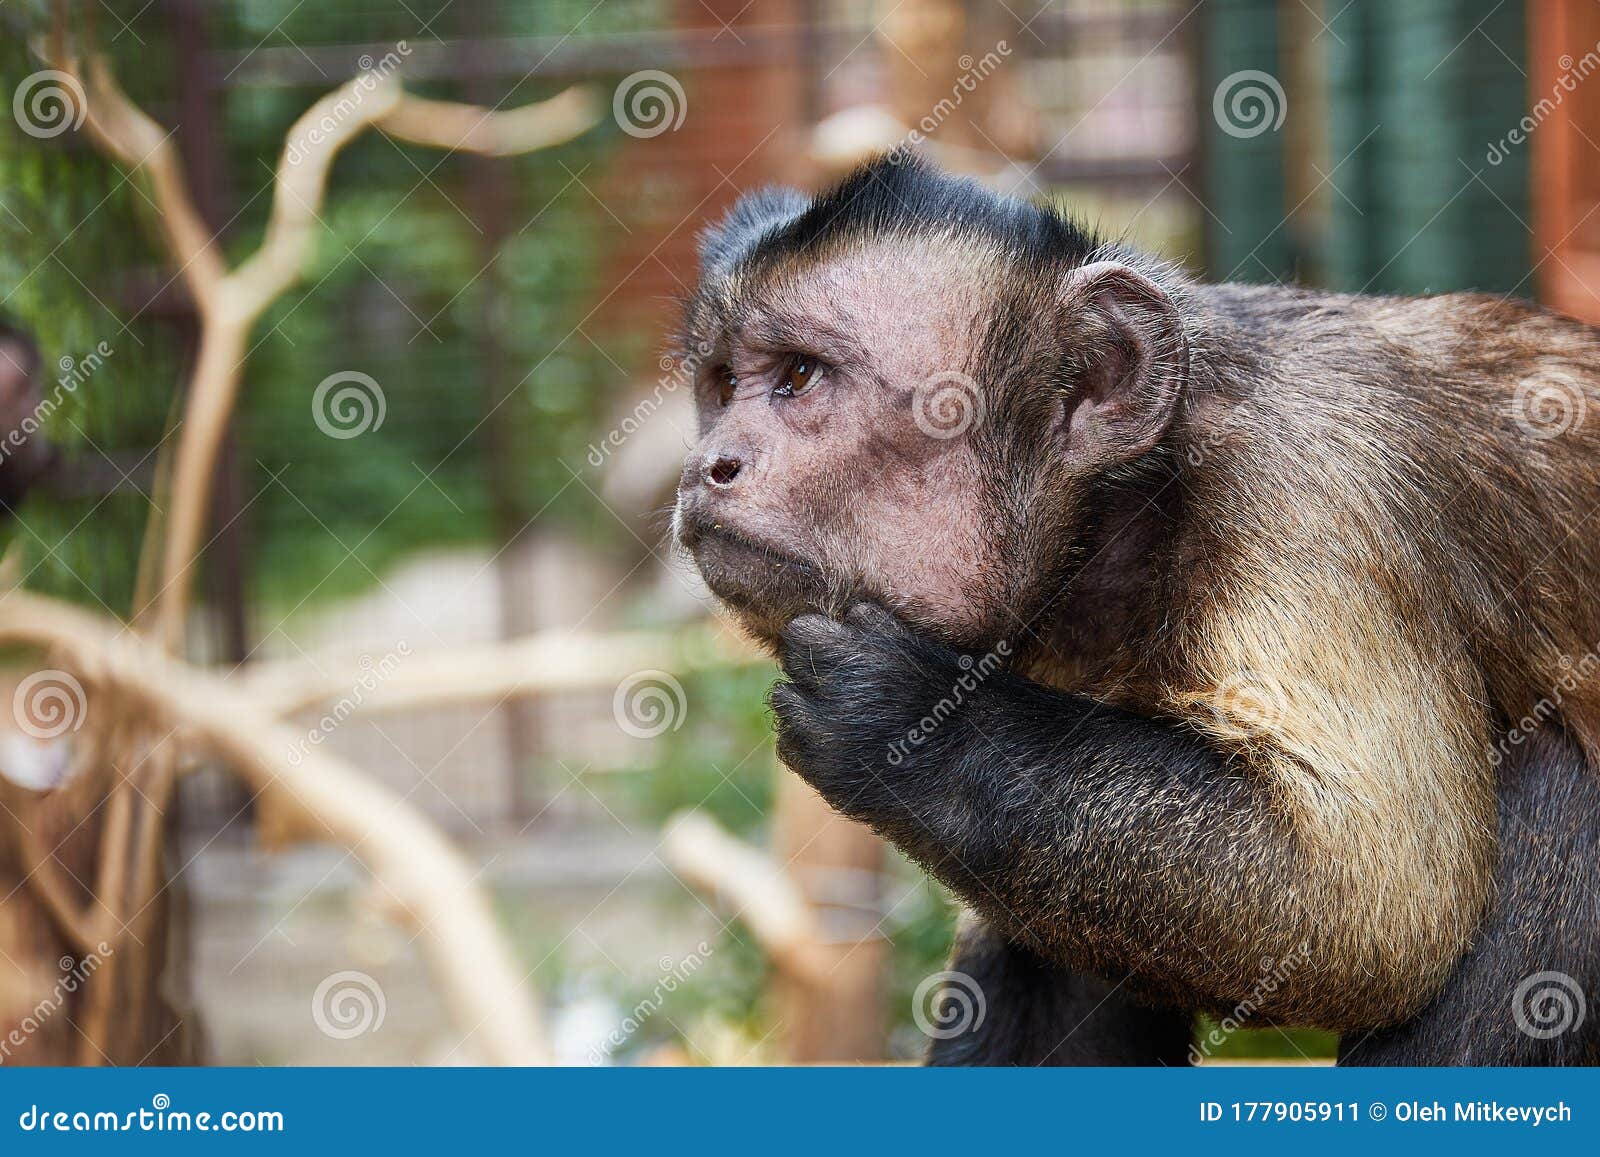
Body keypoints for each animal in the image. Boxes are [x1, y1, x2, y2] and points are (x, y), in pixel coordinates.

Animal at [671, 155, 1600, 1066]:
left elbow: (1381, 906)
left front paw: (899, 716)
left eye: (798, 376)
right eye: (723, 385)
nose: (706, 463)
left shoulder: (1310, 485)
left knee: (1553, 788)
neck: (1129, 500)